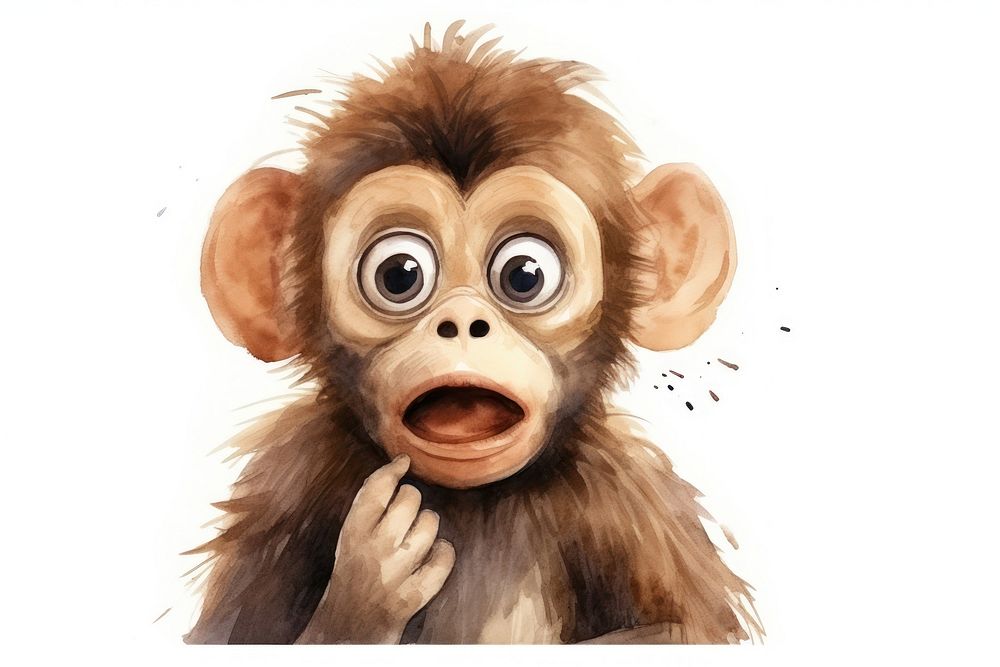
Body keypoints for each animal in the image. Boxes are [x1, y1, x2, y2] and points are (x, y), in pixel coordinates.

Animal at [187, 21, 762, 644]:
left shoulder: (633, 499)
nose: (462, 323)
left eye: (525, 276)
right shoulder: (284, 489)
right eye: (399, 275)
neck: (475, 501)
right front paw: (368, 582)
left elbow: (682, 630)